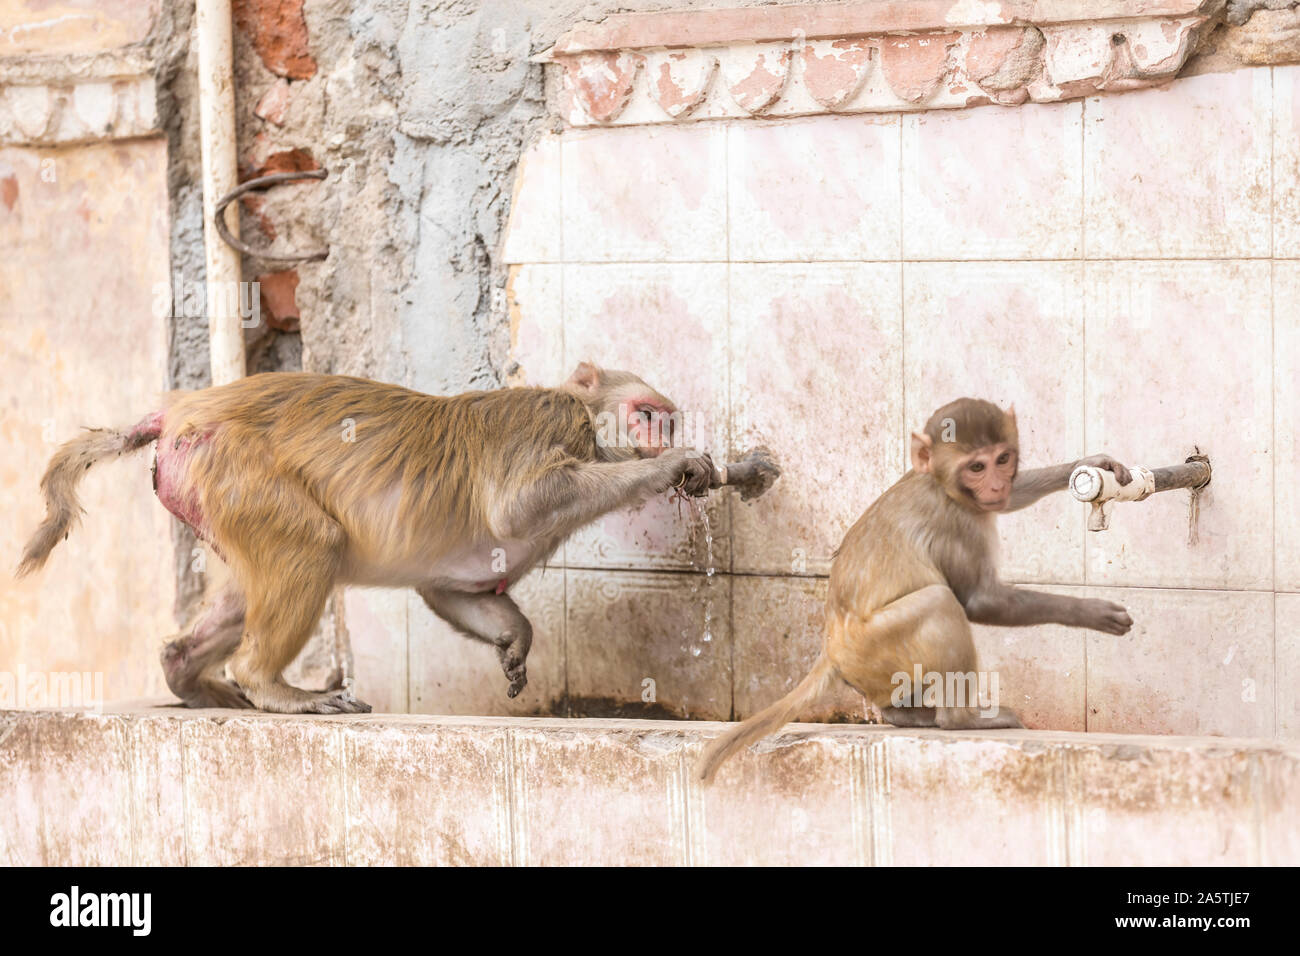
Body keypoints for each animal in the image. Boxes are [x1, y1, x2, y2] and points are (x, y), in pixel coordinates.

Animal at [18, 363, 720, 715]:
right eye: (649, 416)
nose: (665, 434)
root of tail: (183, 410)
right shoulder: (548, 423)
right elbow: (520, 505)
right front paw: (674, 467)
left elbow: (453, 590)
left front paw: (514, 642)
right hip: (231, 468)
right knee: (312, 545)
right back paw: (269, 687)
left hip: (208, 491)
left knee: (251, 584)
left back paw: (188, 673)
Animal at [698, 397, 1134, 784]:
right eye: (977, 466)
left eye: (1003, 459)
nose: (995, 485)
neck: (940, 484)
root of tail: (830, 649)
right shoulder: (957, 523)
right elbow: (980, 601)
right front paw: (1093, 613)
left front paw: (1090, 465)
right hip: (872, 644)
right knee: (940, 602)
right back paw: (961, 720)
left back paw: (904, 714)